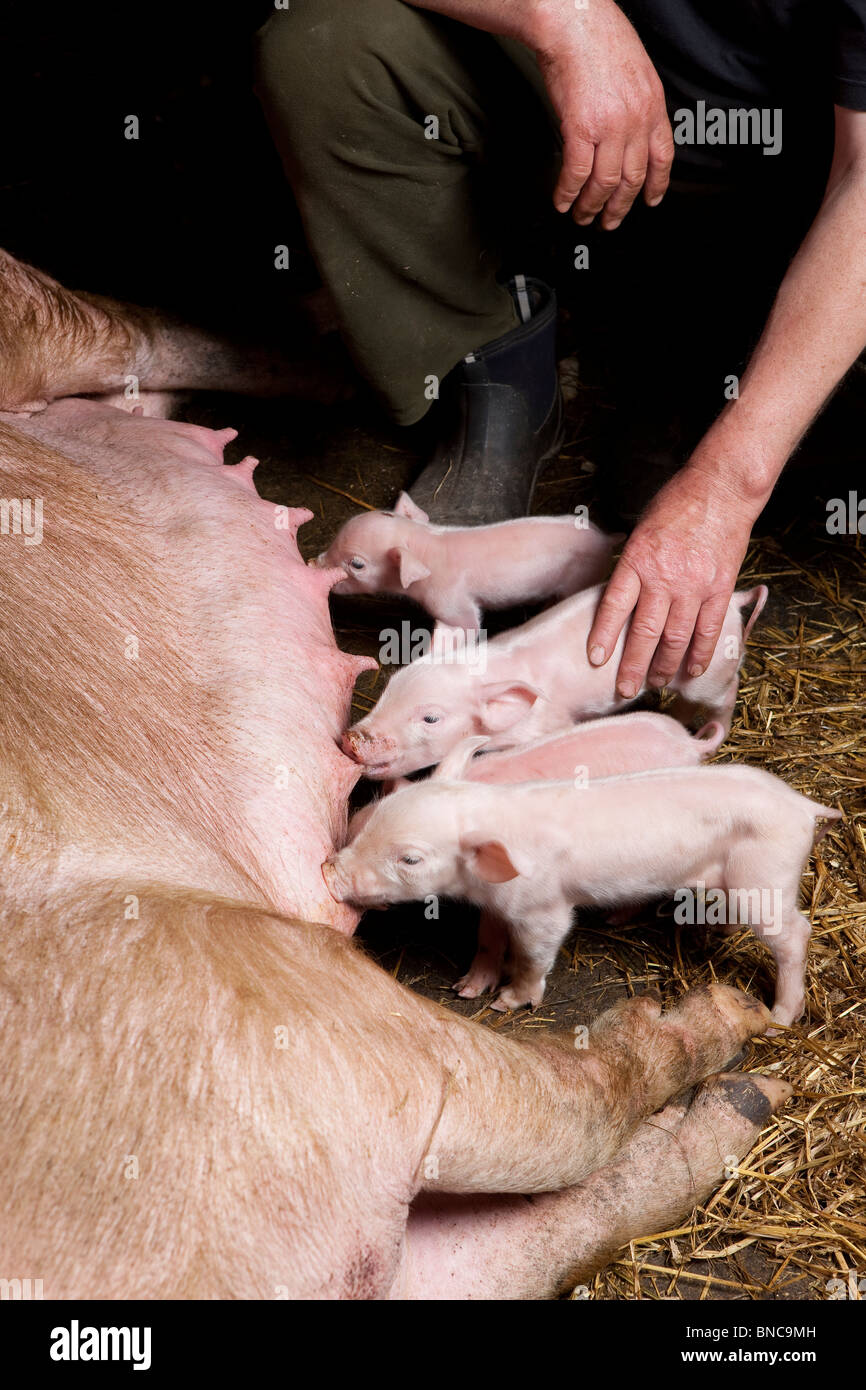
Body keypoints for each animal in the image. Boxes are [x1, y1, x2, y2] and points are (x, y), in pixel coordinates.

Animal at [326, 739, 842, 1026]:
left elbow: (534, 955)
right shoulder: (496, 904)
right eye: (371, 819)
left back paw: (778, 1018)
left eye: (410, 858)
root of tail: (802, 806)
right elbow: (488, 940)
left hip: (766, 876)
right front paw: (466, 990)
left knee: (795, 933)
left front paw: (507, 1003)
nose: (330, 870)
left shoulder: (543, 910)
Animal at [343, 582, 769, 778]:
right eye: (389, 688)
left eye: (431, 718)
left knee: (724, 695)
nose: (351, 740)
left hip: (711, 671)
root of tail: (734, 600)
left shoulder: (550, 724)